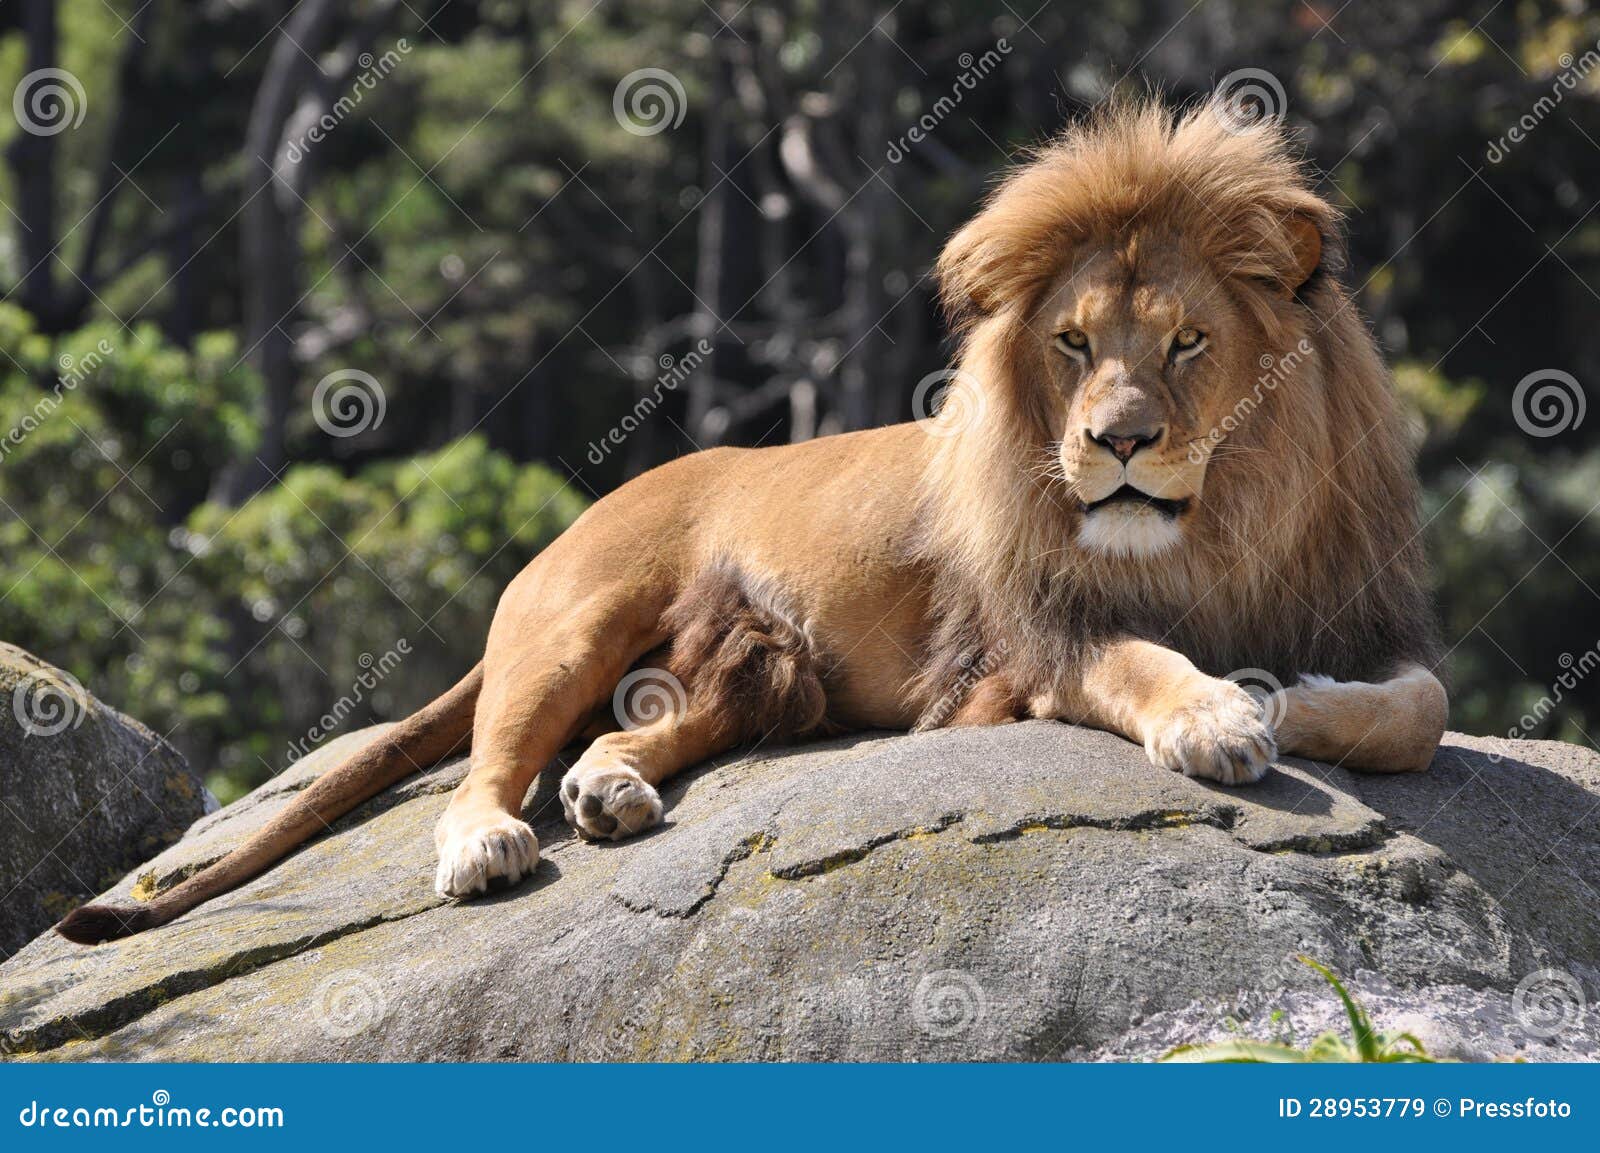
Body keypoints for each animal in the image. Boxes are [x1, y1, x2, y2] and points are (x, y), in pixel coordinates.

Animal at [57, 100, 1447, 945]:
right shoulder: (1037, 640)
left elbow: (1418, 707)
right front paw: (1219, 716)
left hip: (757, 664)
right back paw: (491, 843)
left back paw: (610, 791)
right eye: (1070, 344)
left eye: (1187, 344)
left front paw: (1292, 699)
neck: (1218, 526)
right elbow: (1144, 661)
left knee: (635, 732)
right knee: (489, 764)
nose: (1112, 441)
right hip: (574, 621)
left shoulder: (1359, 605)